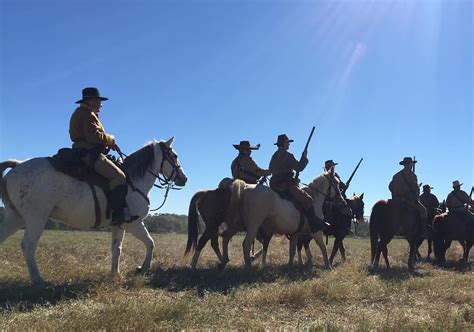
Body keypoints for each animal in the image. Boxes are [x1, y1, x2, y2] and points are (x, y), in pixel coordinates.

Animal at [0, 137, 187, 282]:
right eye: (174, 156)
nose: (184, 179)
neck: (133, 182)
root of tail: (17, 165)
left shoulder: (118, 225)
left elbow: (116, 249)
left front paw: (115, 274)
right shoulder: (134, 223)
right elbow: (150, 243)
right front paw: (143, 267)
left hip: (15, 218)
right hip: (36, 219)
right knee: (28, 246)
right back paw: (38, 279)